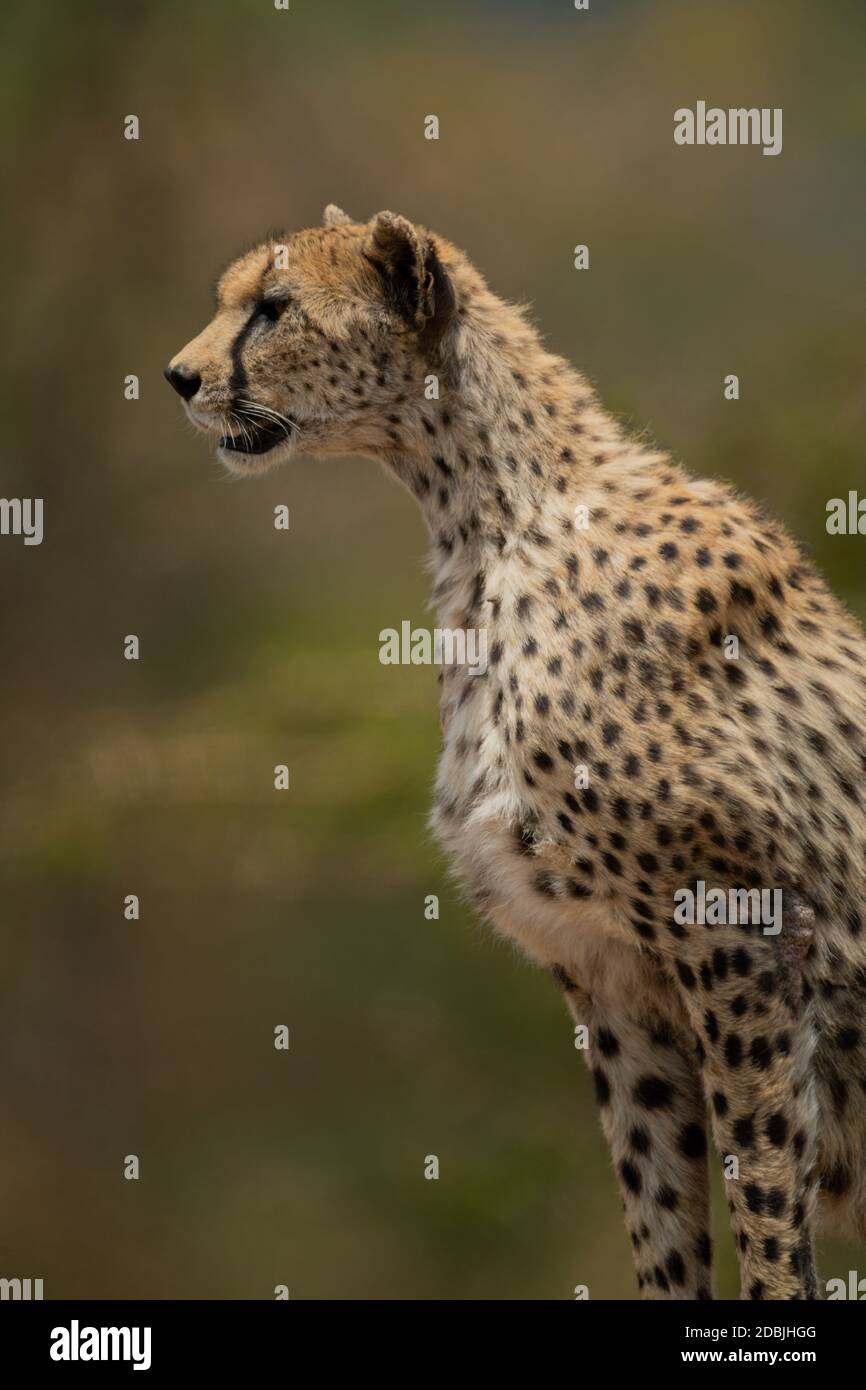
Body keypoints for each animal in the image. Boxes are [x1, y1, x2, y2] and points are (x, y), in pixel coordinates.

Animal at [166, 204, 866, 1299]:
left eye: (273, 308)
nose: (178, 376)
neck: (488, 524)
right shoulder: (609, 977)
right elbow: (659, 1217)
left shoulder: (736, 935)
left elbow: (762, 1203)